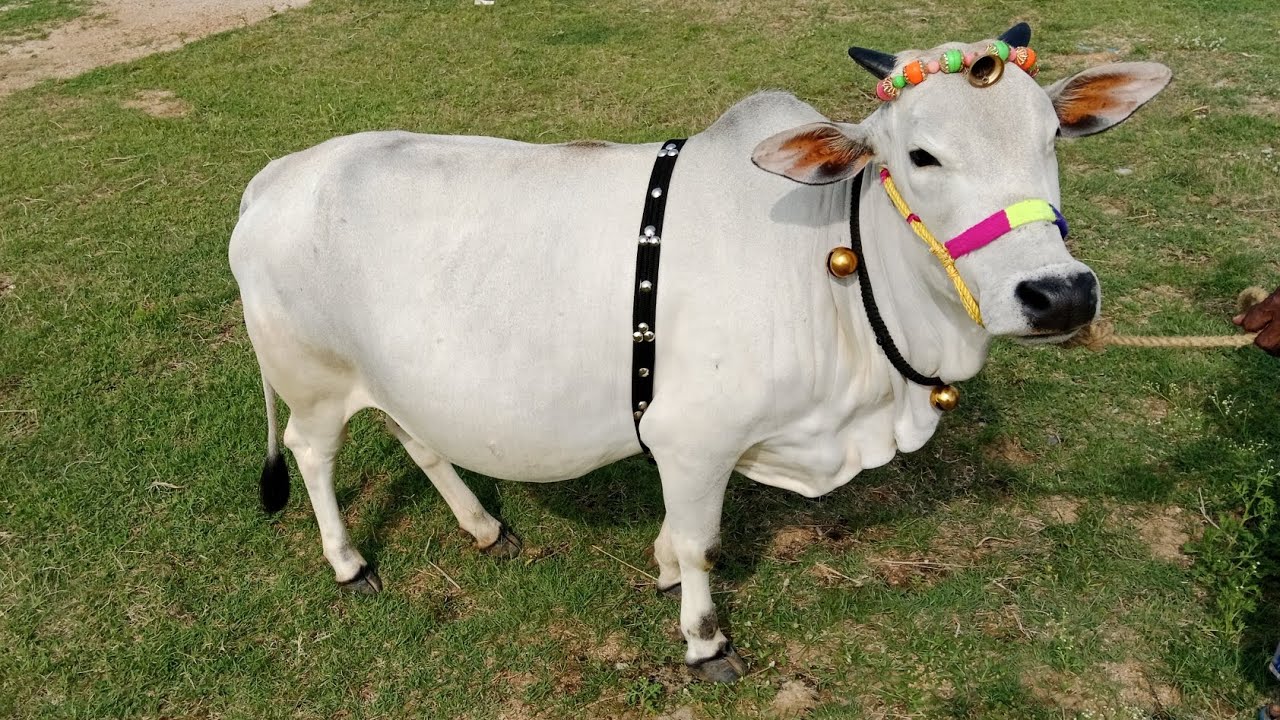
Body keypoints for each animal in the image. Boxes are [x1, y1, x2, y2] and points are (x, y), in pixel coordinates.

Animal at [229, 23, 1170, 682]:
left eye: (1052, 138)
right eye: (920, 154)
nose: (1060, 294)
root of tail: (277, 173)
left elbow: (677, 538)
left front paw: (658, 572)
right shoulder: (692, 437)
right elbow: (700, 545)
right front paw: (703, 641)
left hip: (389, 376)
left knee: (416, 437)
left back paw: (484, 526)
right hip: (311, 379)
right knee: (312, 453)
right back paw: (349, 563)